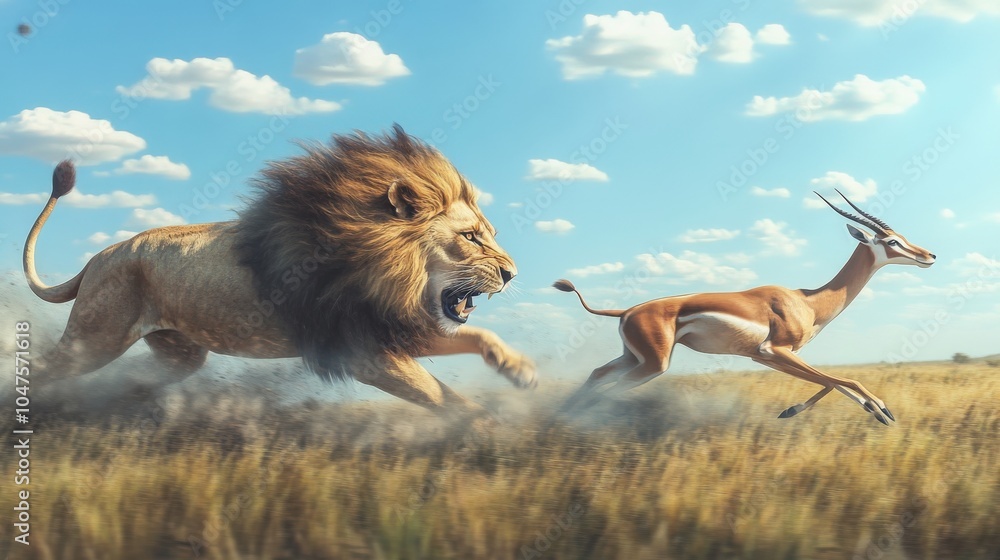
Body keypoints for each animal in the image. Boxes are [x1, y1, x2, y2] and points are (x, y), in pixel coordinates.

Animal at [23, 125, 536, 414]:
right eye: (471, 237)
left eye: (487, 233)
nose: (512, 274)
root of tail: (98, 258)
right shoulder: (363, 350)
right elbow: (441, 396)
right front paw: (490, 430)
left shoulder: (386, 326)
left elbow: (477, 337)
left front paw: (520, 370)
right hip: (96, 336)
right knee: (42, 368)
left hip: (180, 353)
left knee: (136, 379)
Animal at [555, 191, 936, 425]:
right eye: (891, 242)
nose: (929, 255)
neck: (808, 301)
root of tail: (624, 312)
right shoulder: (774, 350)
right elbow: (844, 379)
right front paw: (881, 409)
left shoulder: (766, 357)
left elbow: (832, 382)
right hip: (653, 364)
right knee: (607, 390)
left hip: (632, 358)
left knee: (595, 375)